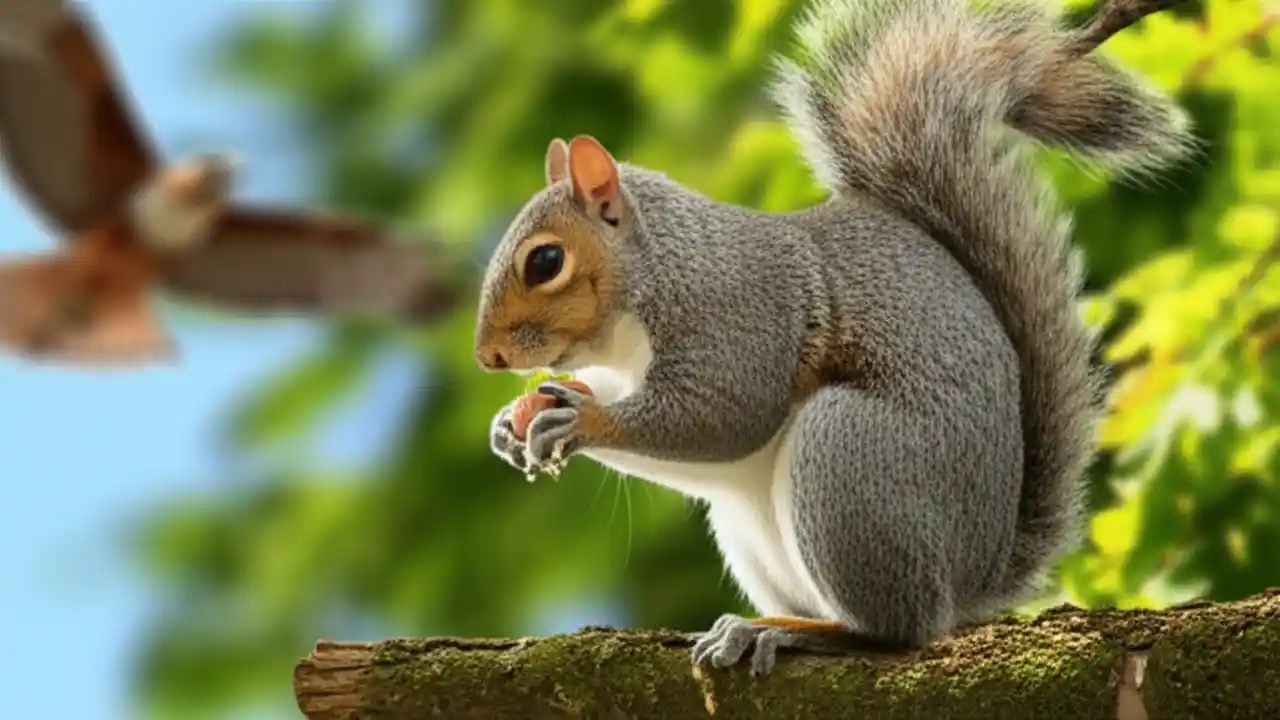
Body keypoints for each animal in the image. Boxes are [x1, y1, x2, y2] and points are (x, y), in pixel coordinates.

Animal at [475, 0, 1192, 675]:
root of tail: (972, 581)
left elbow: (721, 416)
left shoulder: (739, 313)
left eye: (546, 261)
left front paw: (579, 420)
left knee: (895, 630)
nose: (488, 357)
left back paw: (792, 634)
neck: (647, 284)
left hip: (852, 459)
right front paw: (514, 418)